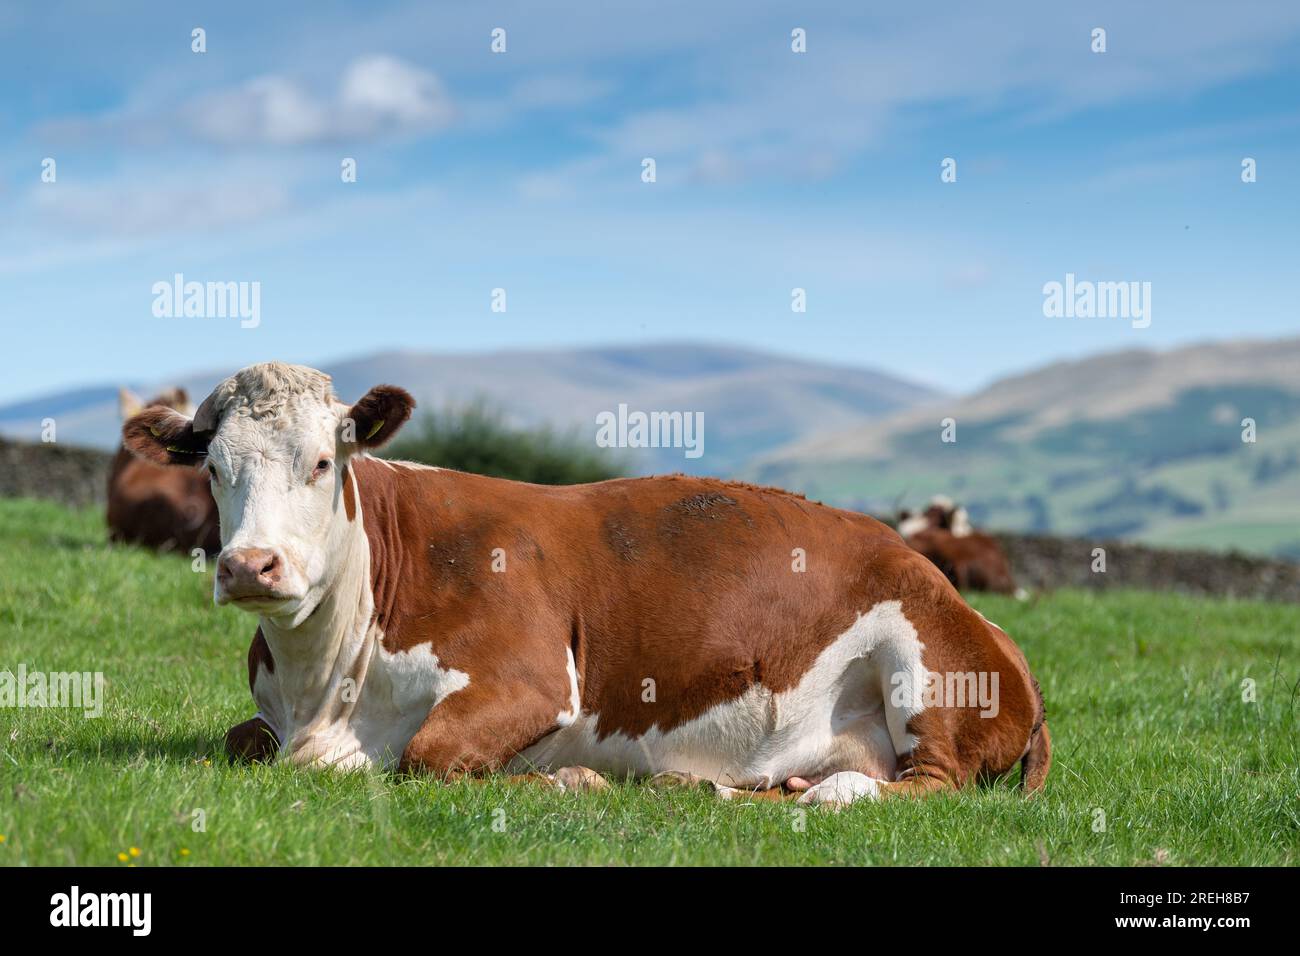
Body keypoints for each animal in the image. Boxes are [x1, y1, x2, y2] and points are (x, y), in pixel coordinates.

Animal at [122, 363, 1050, 805]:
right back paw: (724, 786)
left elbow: (428, 755)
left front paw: (568, 779)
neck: (328, 686)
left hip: (926, 661)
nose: (250, 566)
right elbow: (242, 739)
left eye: (322, 461)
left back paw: (824, 798)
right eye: (212, 467)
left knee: (922, 783)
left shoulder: (529, 676)